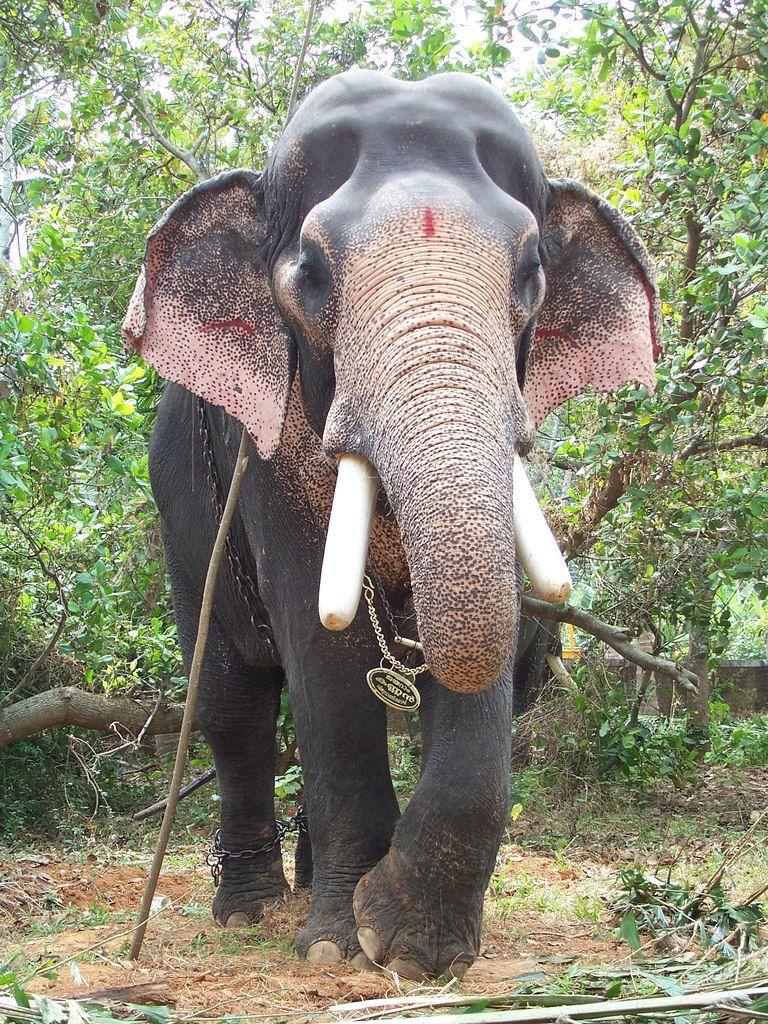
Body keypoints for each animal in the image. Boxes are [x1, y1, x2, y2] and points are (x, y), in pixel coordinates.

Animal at [123, 69, 658, 980]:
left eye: (532, 271)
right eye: (309, 274)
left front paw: (414, 949)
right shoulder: (268, 459)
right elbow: (322, 650)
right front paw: (338, 947)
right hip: (181, 520)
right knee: (235, 702)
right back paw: (253, 909)